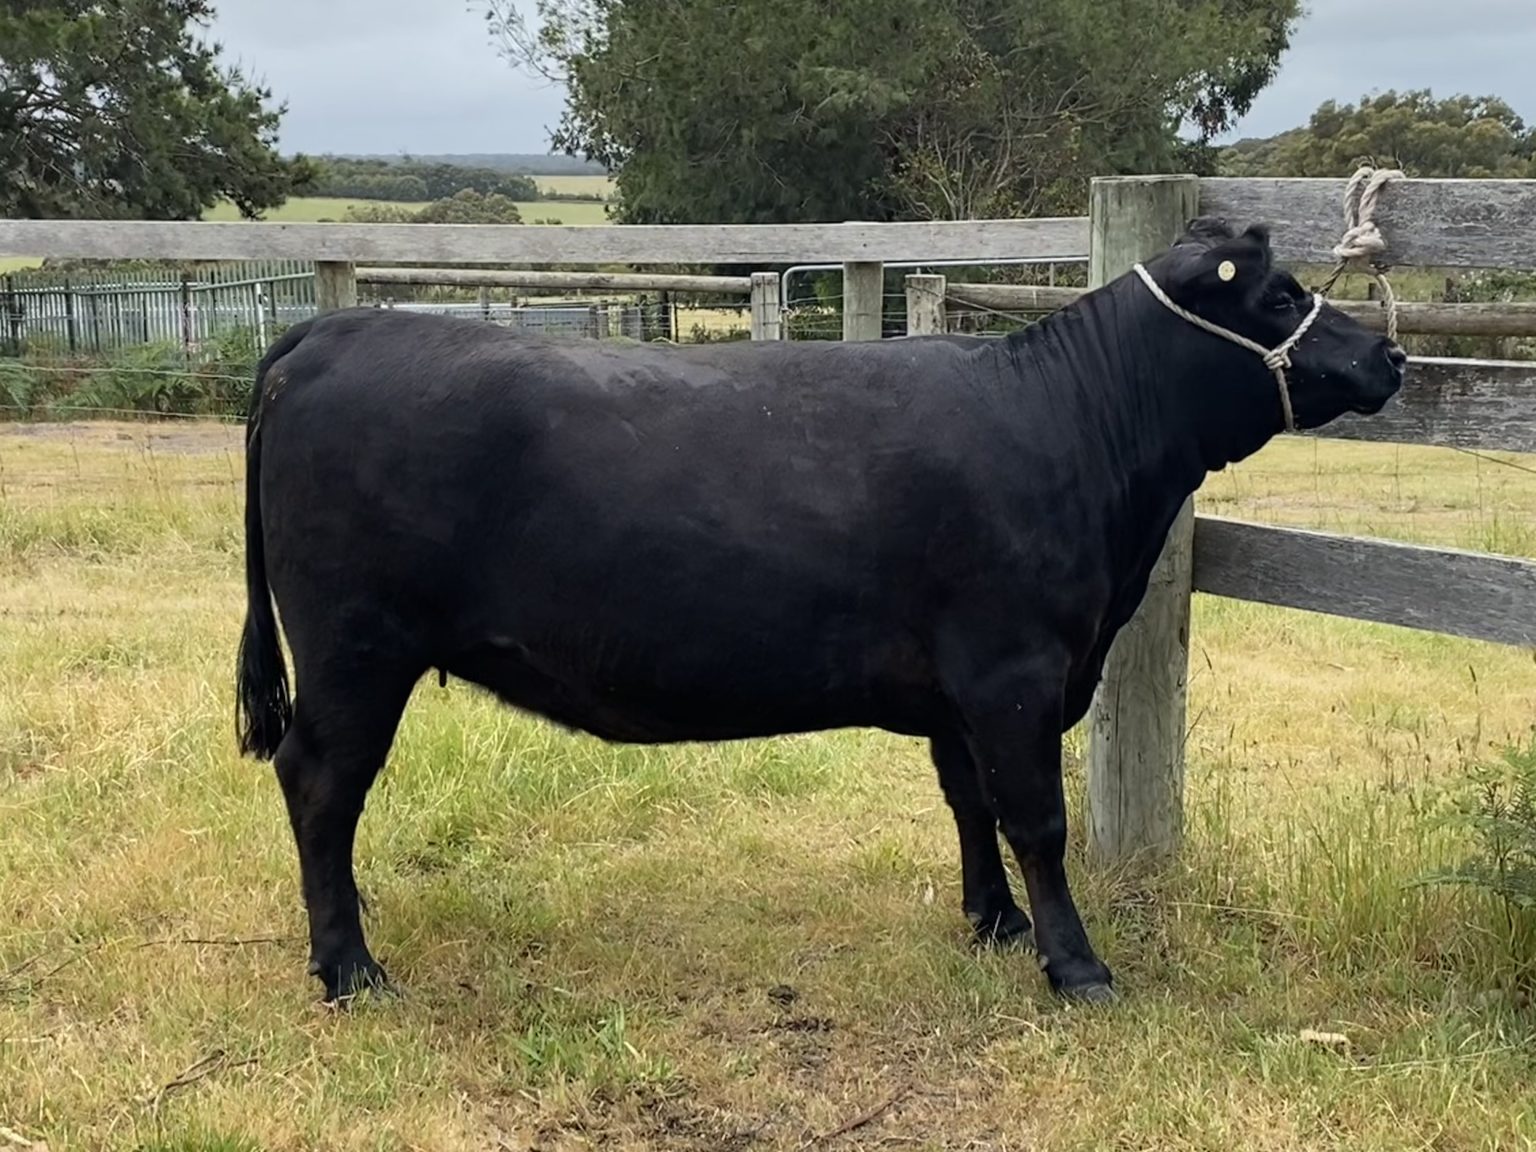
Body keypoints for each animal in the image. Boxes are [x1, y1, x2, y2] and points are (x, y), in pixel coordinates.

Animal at [235, 217, 1405, 1004]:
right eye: (1276, 296)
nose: (1389, 354)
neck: (1070, 422)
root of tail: (330, 332)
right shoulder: (1016, 669)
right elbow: (1037, 817)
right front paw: (1075, 965)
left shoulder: (960, 690)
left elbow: (969, 803)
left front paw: (993, 921)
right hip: (355, 650)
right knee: (319, 784)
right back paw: (349, 968)